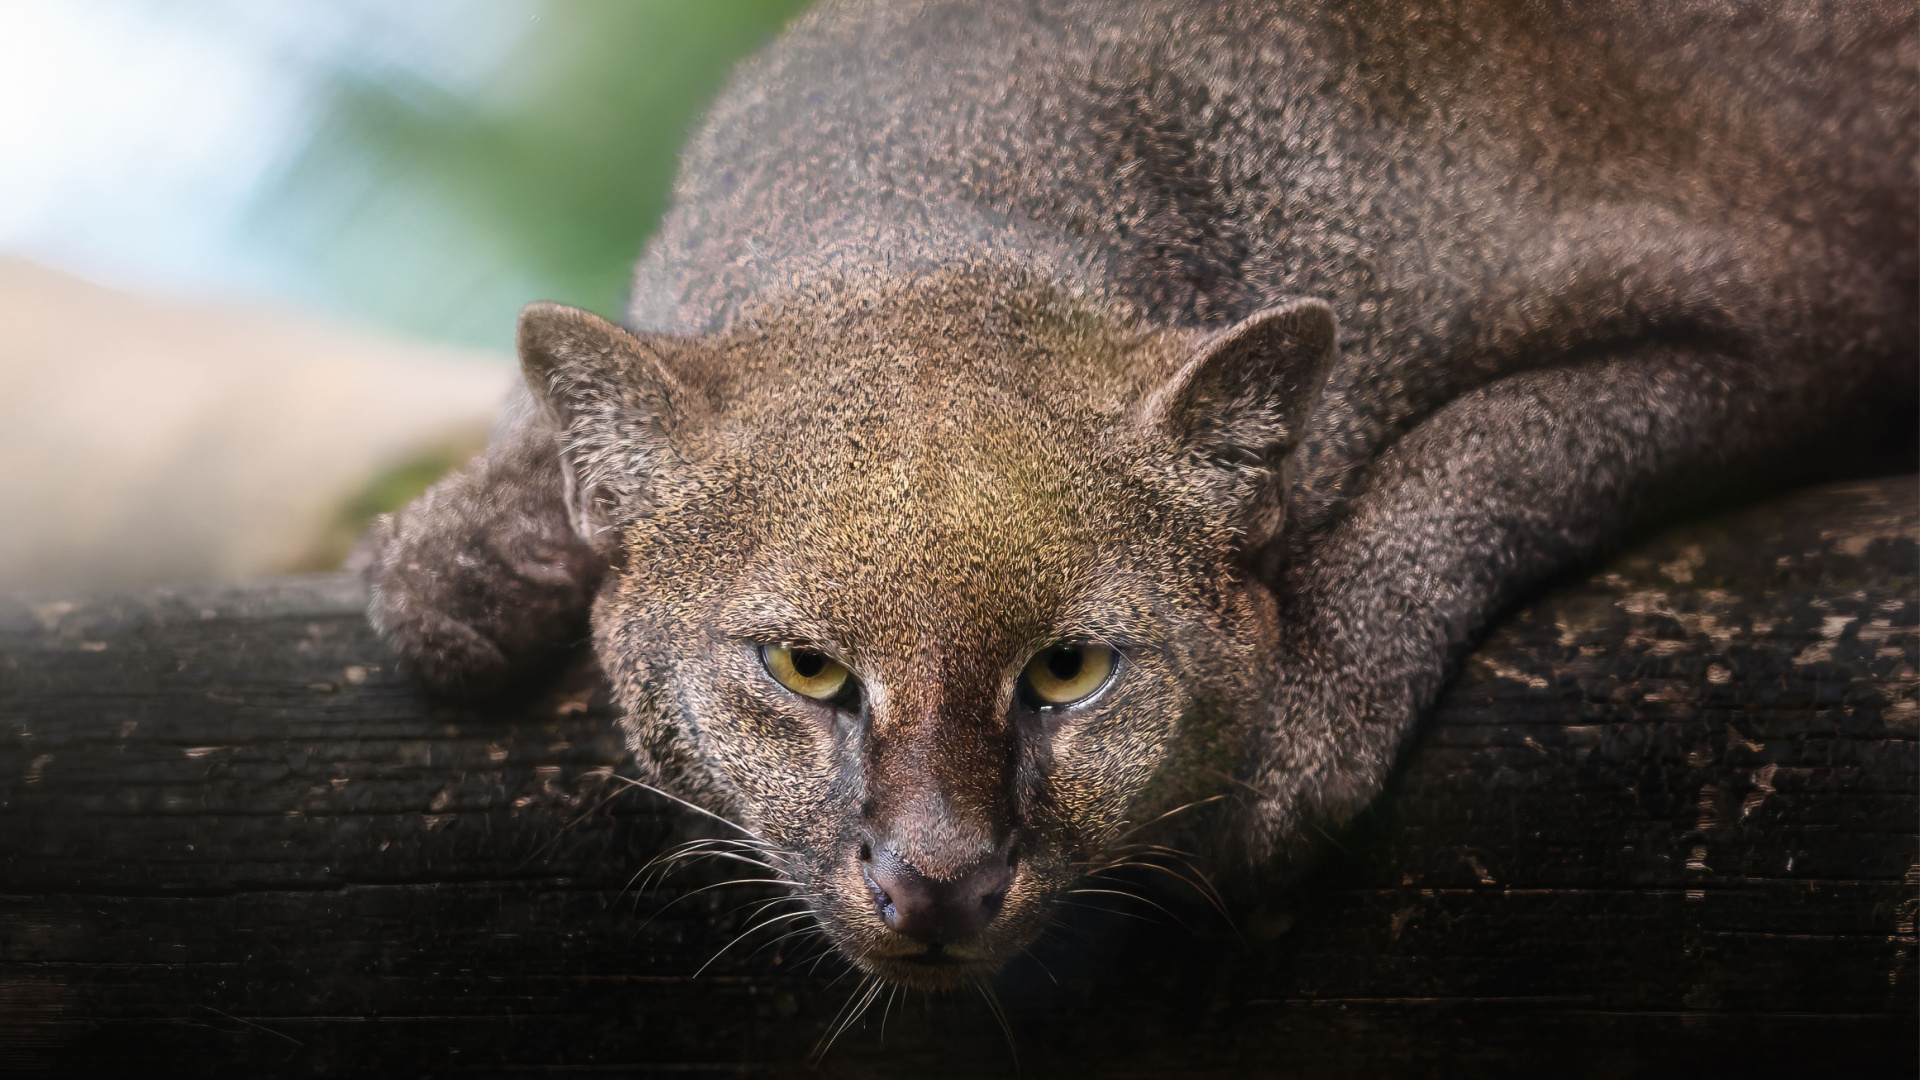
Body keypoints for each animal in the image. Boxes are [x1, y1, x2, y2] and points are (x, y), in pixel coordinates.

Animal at [361, 0, 1917, 990]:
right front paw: (457, 550)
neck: (948, 170)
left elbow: (1491, 450)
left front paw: (1303, 719)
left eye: (1070, 672)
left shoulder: (1787, 313)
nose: (938, 884)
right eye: (808, 669)